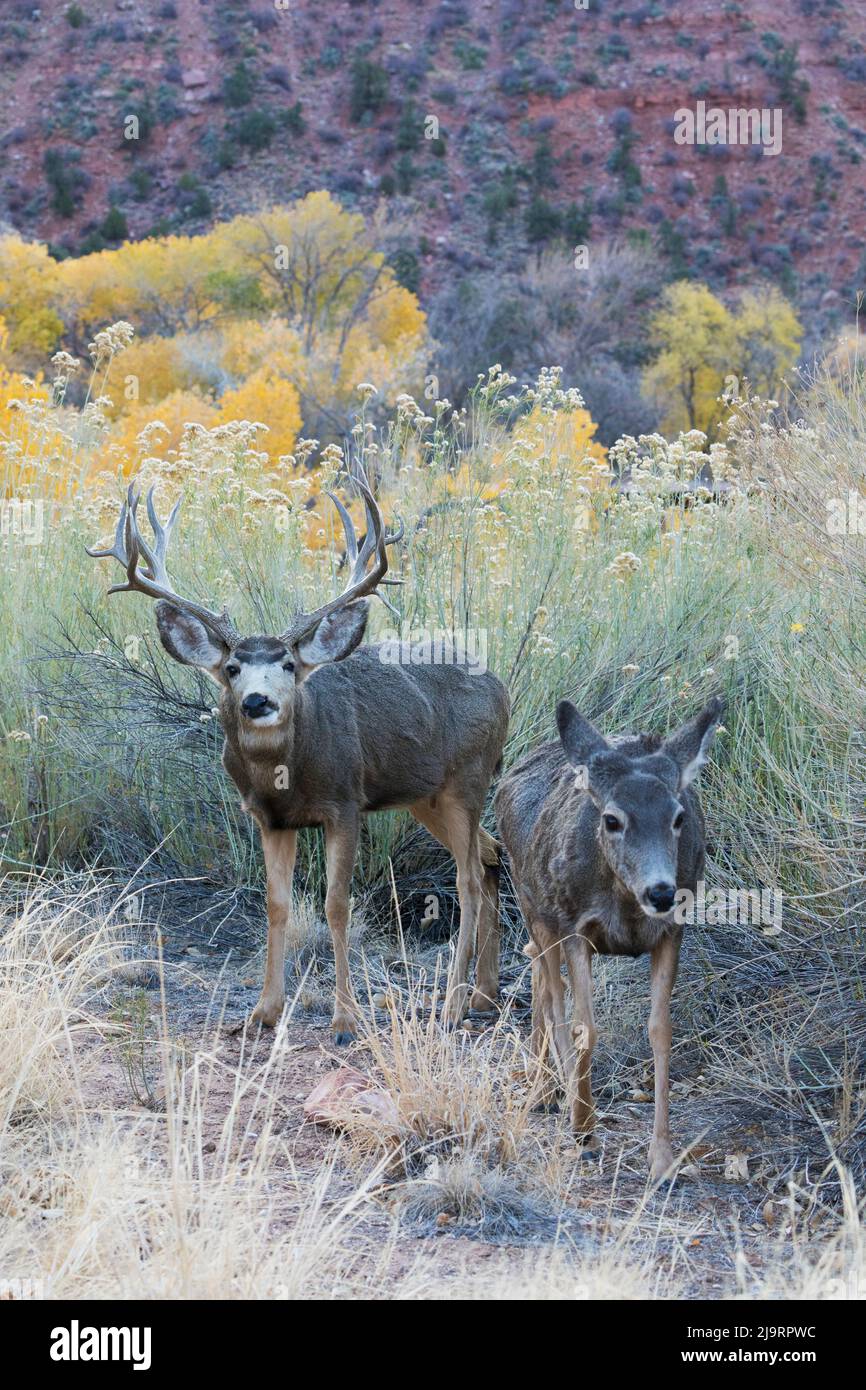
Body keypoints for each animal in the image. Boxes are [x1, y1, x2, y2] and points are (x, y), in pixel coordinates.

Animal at [87, 470, 510, 1044]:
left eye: (288, 664)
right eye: (233, 668)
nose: (257, 701)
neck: (289, 775)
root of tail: (502, 688)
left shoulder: (346, 804)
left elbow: (336, 905)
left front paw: (346, 1020)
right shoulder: (270, 820)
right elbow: (277, 904)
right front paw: (261, 1013)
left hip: (469, 778)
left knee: (467, 878)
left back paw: (452, 1005)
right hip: (426, 797)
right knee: (489, 857)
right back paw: (484, 993)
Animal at [495, 695, 723, 1182]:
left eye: (679, 817)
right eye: (613, 819)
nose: (660, 891)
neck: (625, 902)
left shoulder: (672, 930)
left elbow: (660, 1029)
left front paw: (662, 1158)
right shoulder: (575, 927)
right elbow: (585, 1024)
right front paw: (584, 1126)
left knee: (544, 984)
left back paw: (548, 1092)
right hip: (533, 908)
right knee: (549, 992)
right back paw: (553, 1096)